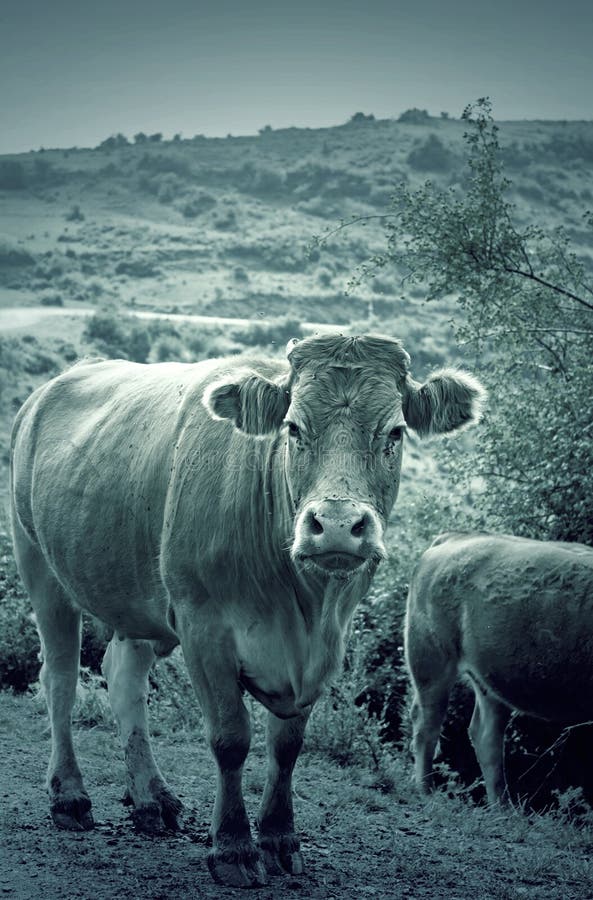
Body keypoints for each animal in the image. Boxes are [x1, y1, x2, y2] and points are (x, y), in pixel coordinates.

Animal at [10, 333, 484, 887]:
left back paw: (151, 799)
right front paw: (233, 847)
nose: (337, 525)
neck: (300, 607)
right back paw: (69, 796)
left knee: (124, 678)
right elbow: (231, 738)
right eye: (294, 427)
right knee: (60, 679)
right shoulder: (203, 627)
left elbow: (288, 745)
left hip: (133, 594)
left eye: (395, 432)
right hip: (39, 566)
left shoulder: (325, 646)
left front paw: (279, 838)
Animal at [405, 532, 593, 806]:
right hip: (432, 663)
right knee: (427, 726)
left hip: (489, 683)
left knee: (486, 737)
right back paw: (425, 791)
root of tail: (454, 537)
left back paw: (501, 806)